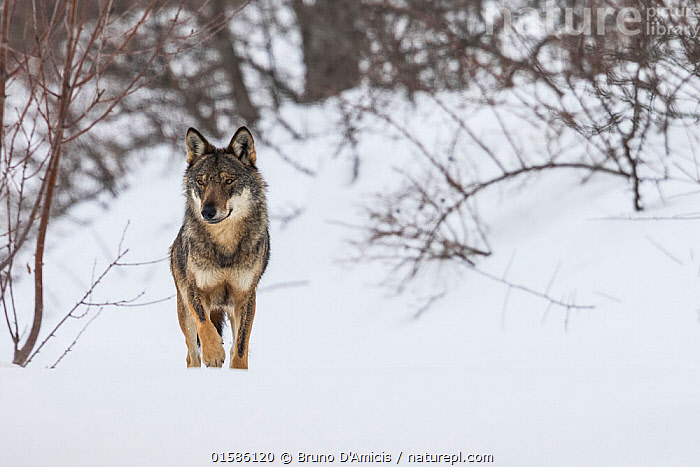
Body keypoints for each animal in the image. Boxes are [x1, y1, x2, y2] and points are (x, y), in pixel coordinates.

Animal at [170, 126, 269, 369]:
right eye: (200, 182)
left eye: (228, 181)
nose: (207, 212)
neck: (225, 247)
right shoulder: (195, 289)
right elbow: (205, 324)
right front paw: (213, 354)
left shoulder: (246, 297)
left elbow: (241, 346)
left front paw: (238, 371)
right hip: (184, 312)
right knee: (191, 354)